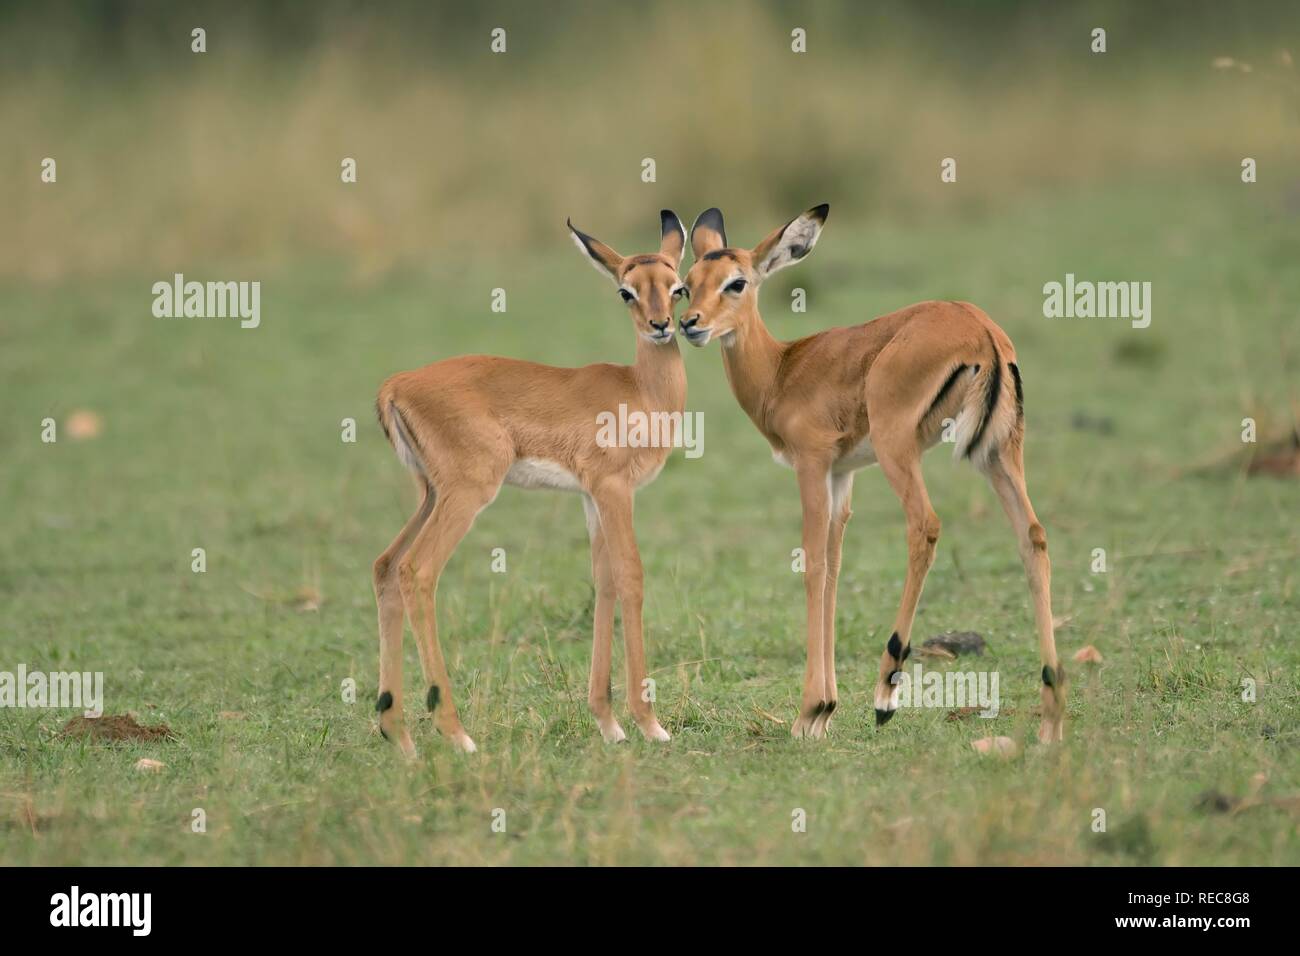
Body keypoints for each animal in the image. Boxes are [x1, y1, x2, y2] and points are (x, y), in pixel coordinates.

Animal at [372, 211, 689, 755]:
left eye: (677, 287)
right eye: (626, 290)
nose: (662, 326)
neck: (643, 391)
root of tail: (396, 384)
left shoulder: (590, 497)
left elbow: (604, 581)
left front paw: (608, 723)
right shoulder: (614, 490)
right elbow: (631, 576)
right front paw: (650, 723)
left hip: (429, 493)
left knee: (386, 567)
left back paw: (400, 737)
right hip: (467, 493)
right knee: (417, 571)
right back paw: (457, 733)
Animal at [680, 205, 1066, 744]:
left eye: (736, 282)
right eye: (687, 284)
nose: (689, 324)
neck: (781, 370)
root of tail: (983, 331)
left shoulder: (811, 465)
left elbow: (814, 565)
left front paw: (810, 710)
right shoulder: (842, 476)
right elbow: (834, 569)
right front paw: (824, 710)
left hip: (897, 448)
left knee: (925, 526)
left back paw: (886, 695)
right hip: (999, 453)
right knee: (1033, 535)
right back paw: (1051, 717)